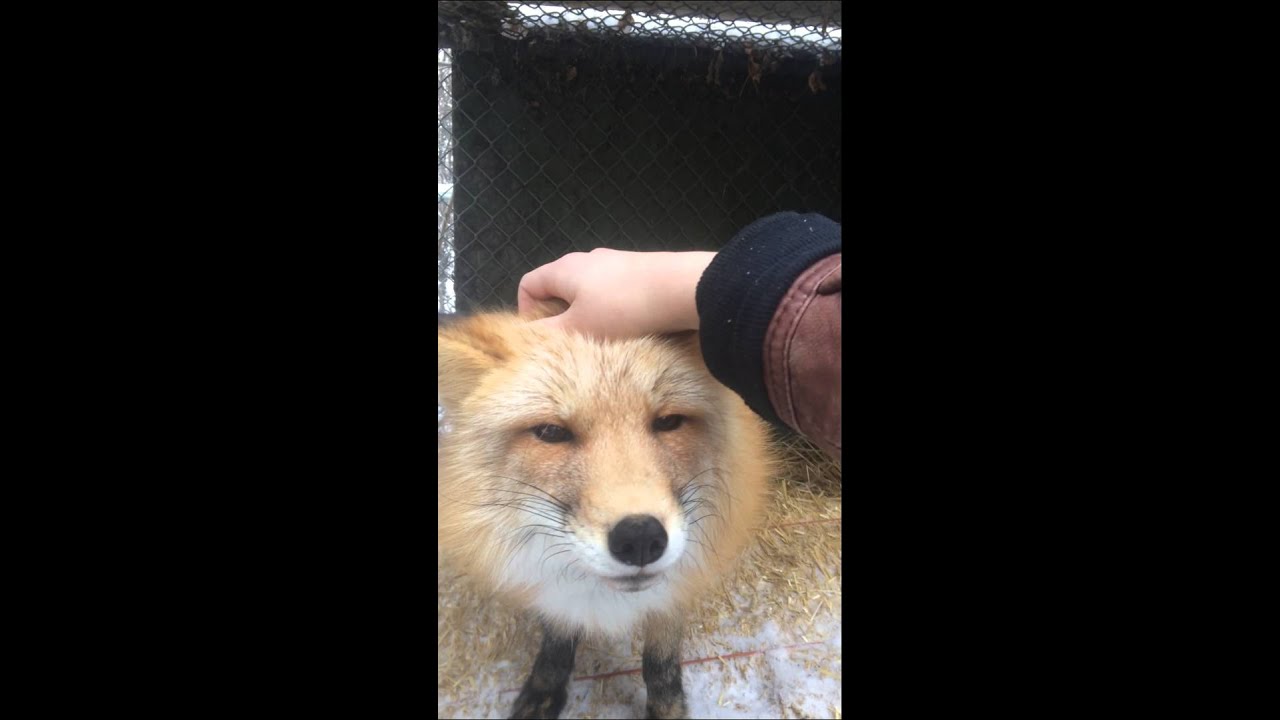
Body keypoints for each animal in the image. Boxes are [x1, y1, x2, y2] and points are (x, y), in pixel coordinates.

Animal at [438, 308, 774, 719]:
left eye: (668, 422)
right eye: (551, 432)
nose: (640, 537)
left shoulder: (676, 586)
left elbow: (659, 664)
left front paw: (667, 708)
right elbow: (556, 646)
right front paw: (544, 693)